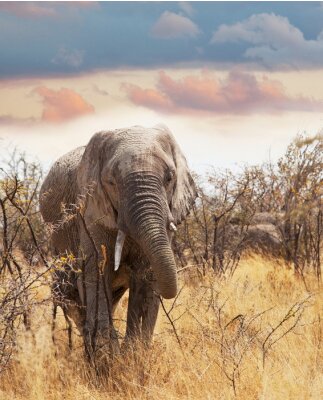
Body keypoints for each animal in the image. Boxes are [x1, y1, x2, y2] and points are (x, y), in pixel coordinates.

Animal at [40, 124, 197, 360]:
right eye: (111, 182)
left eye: (170, 178)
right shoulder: (90, 213)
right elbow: (96, 272)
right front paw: (109, 362)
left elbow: (146, 275)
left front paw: (133, 357)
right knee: (73, 299)